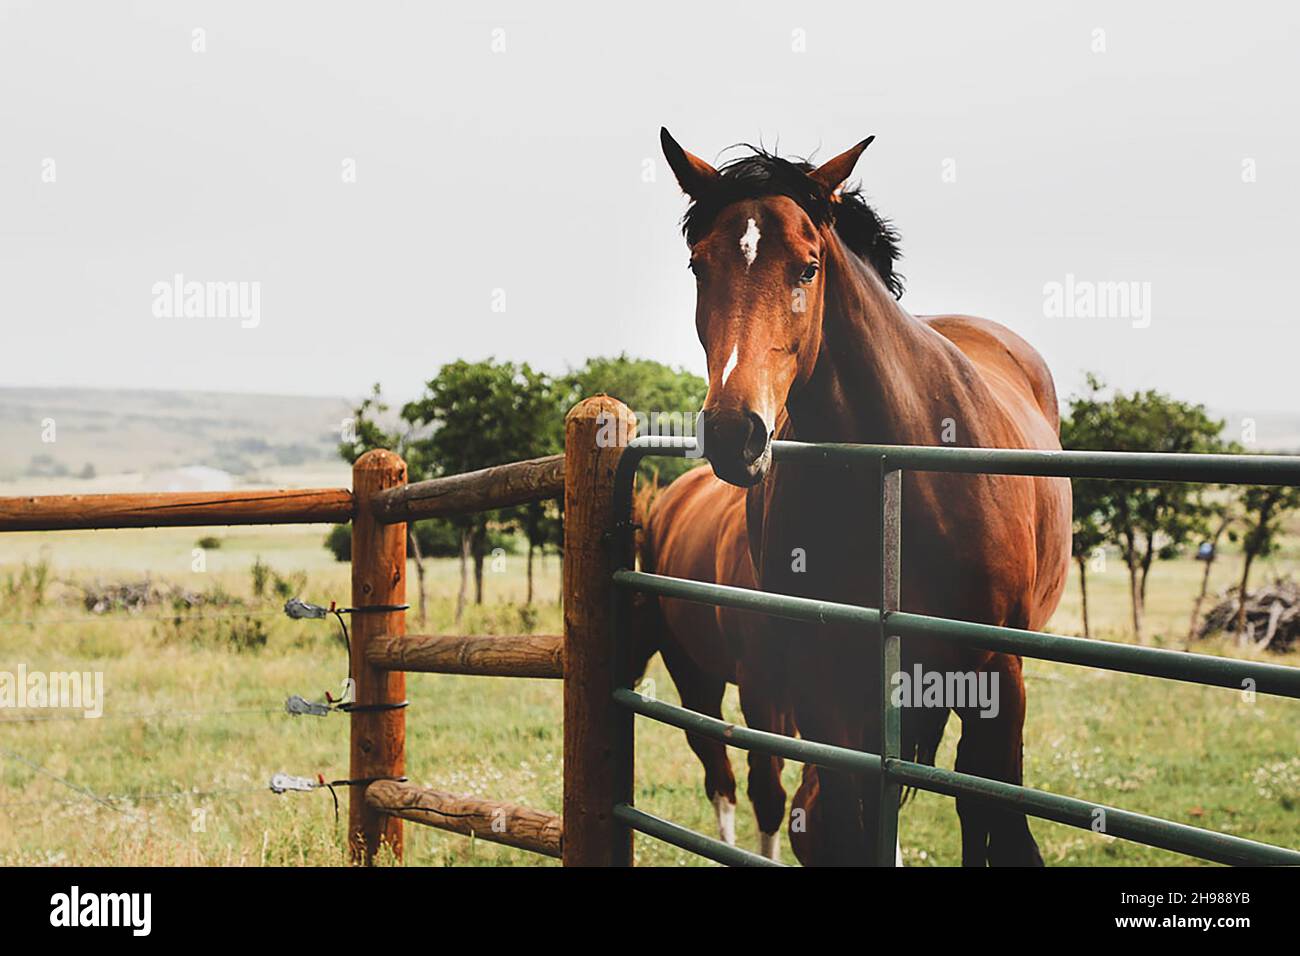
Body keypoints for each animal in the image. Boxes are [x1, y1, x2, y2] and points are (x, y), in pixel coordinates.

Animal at [660, 128, 1072, 866]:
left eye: (808, 268)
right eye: (697, 266)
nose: (735, 432)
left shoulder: (997, 672)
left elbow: (1001, 820)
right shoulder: (830, 688)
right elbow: (845, 821)